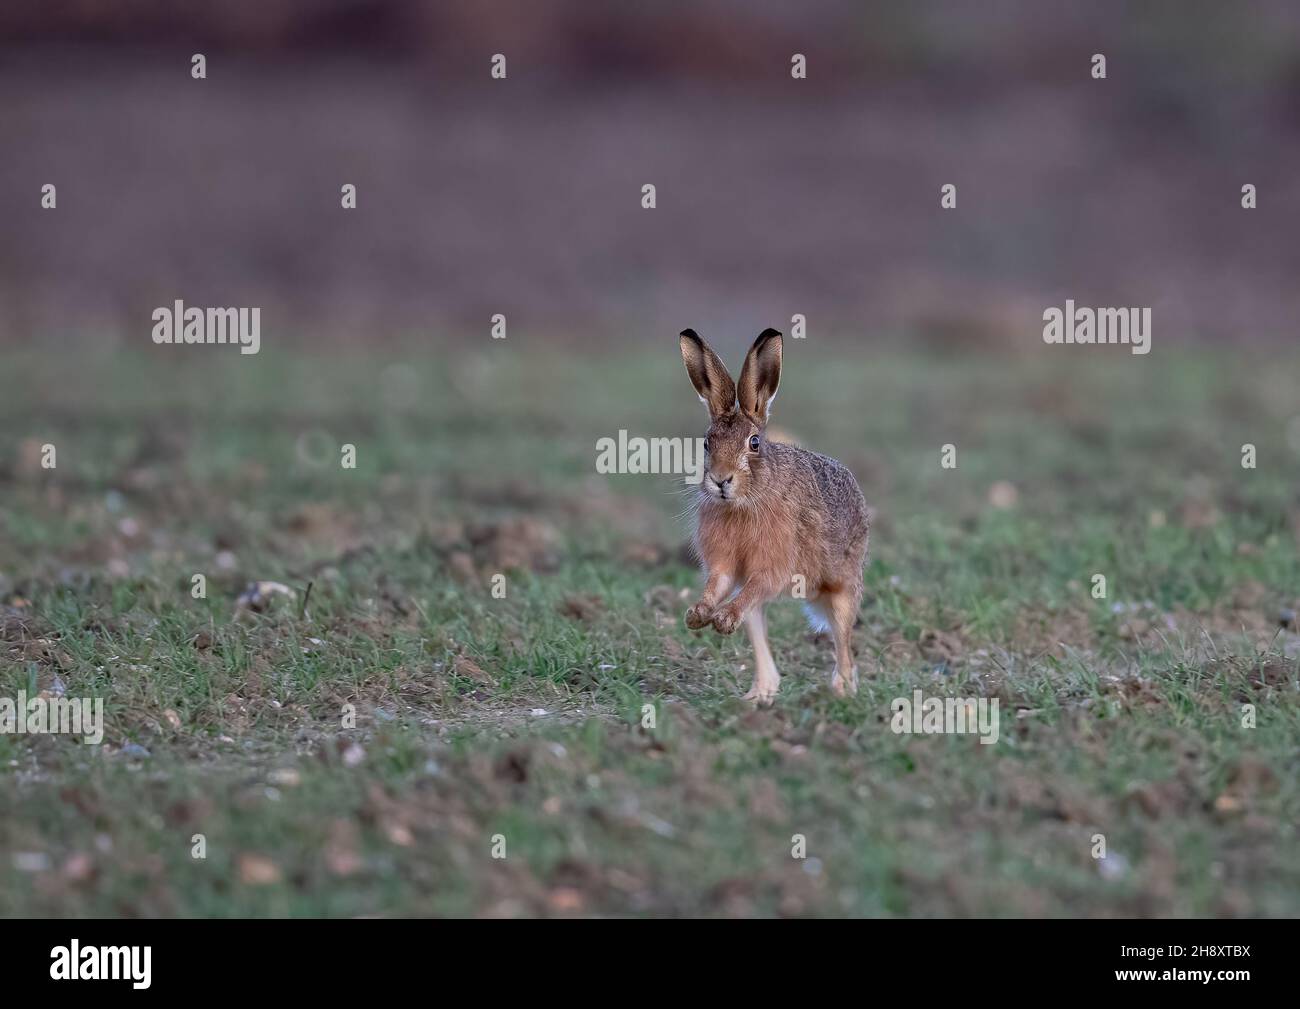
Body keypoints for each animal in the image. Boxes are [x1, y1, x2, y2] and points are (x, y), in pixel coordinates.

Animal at [678, 327, 870, 704]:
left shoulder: (774, 568)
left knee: (843, 647)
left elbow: (758, 584)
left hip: (844, 592)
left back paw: (839, 693)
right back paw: (758, 696)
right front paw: (698, 614)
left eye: (754, 443)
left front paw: (720, 618)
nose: (721, 480)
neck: (743, 502)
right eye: (707, 444)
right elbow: (716, 585)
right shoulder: (724, 567)